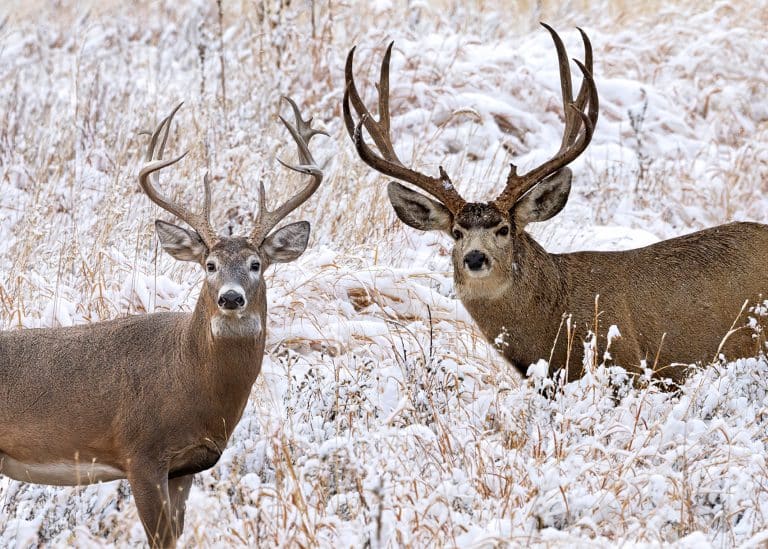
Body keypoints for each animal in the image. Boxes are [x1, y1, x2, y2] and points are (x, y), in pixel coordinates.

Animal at [0, 97, 326, 547]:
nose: (230, 297)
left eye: (256, 264)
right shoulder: (141, 453)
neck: (188, 374)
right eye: (209, 265)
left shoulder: (185, 468)